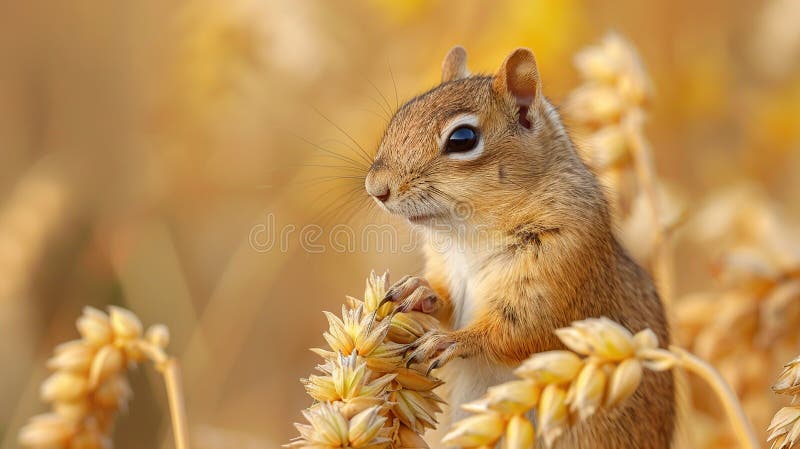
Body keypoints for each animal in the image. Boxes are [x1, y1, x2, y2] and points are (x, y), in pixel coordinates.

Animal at [364, 46, 675, 449]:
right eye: (400, 115)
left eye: (462, 138)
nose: (376, 188)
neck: (470, 236)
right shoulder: (446, 266)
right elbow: (444, 300)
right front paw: (418, 291)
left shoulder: (562, 266)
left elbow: (519, 331)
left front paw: (449, 341)